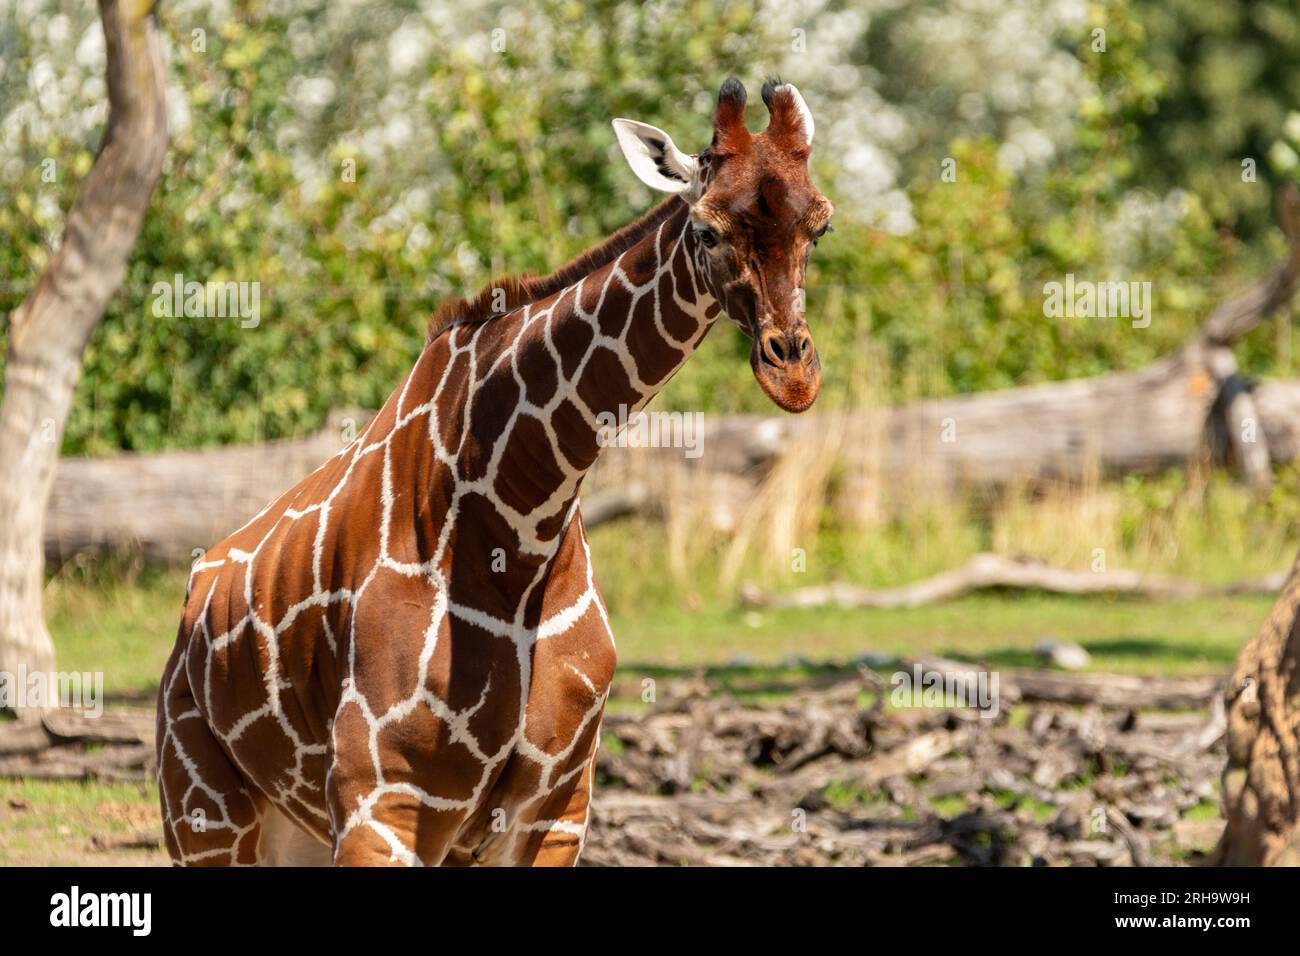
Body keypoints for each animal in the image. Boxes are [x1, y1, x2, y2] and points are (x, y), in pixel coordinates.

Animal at [155, 77, 834, 866]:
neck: (524, 520)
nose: (793, 375)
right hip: (207, 815)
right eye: (705, 230)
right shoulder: (380, 799)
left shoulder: (558, 805)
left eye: (819, 227)